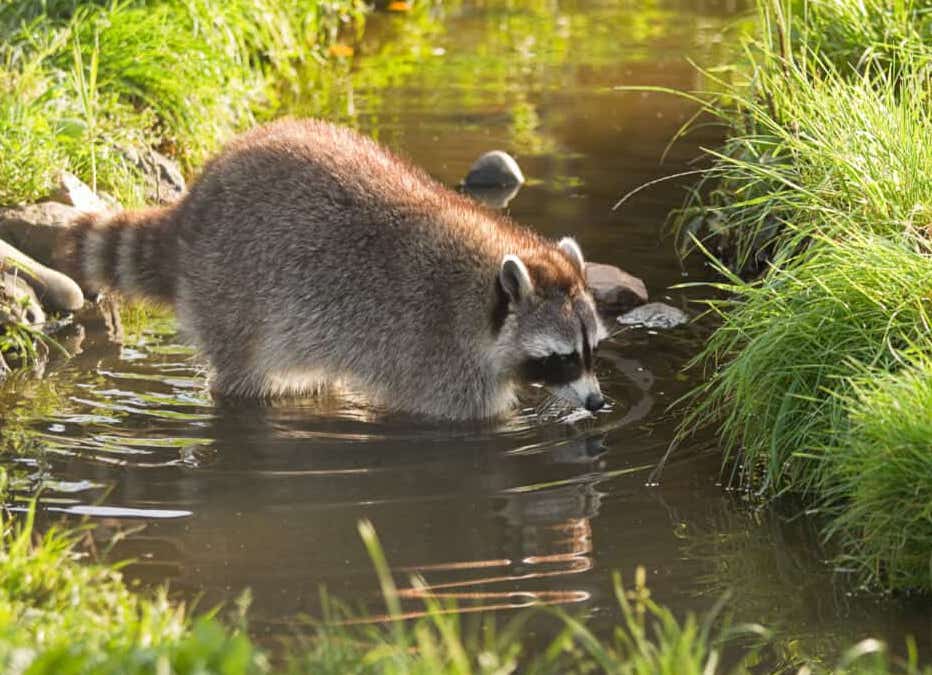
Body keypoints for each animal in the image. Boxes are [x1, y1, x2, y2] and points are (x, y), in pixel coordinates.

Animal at [55, 119, 608, 420]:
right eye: (561, 358)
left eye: (592, 350)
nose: (598, 403)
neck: (482, 296)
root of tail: (193, 205)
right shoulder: (440, 356)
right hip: (232, 293)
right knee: (243, 377)